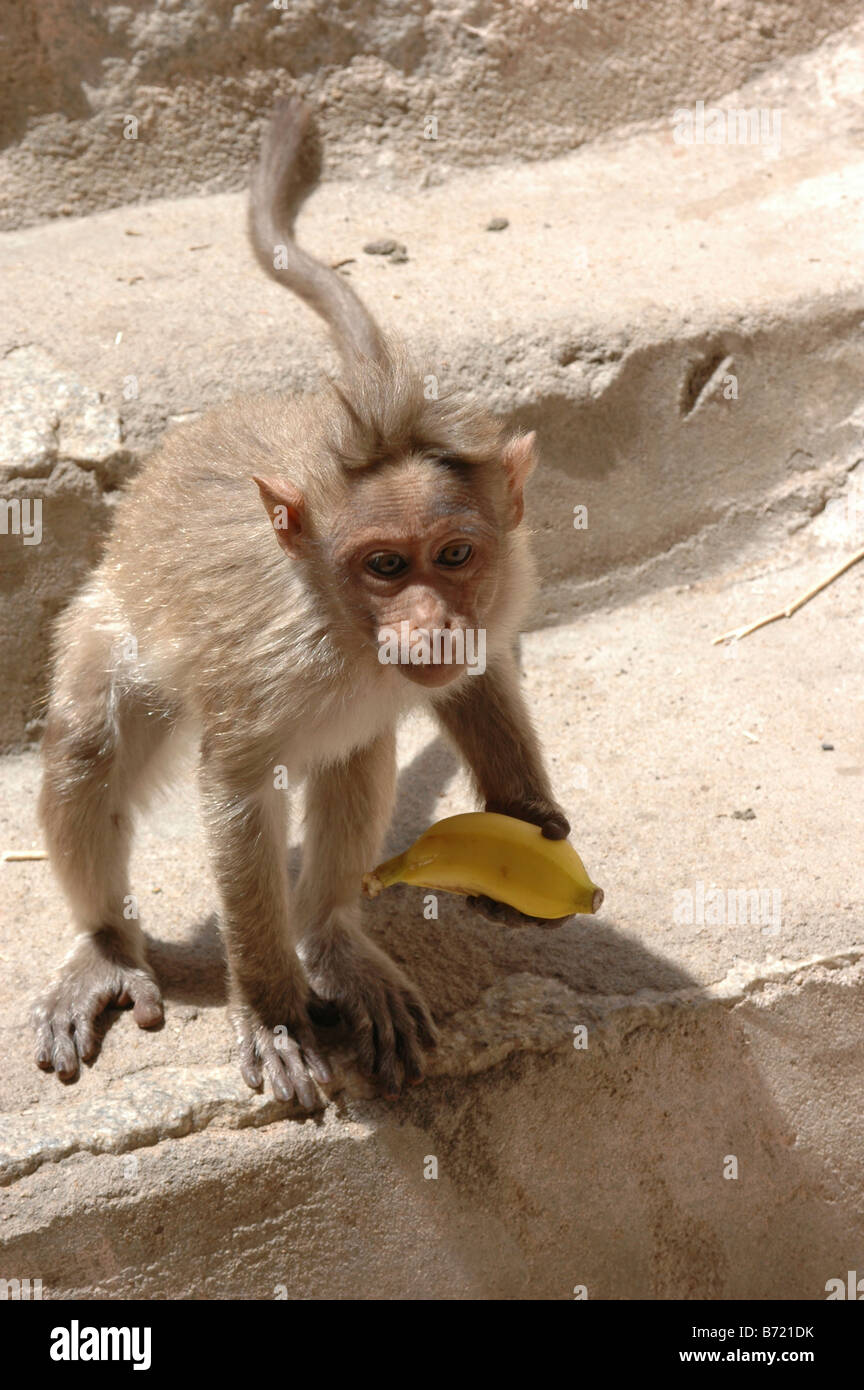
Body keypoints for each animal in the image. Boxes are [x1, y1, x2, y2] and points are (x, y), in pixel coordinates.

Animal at [32, 98, 571, 1107]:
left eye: (454, 555)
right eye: (385, 566)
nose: (431, 625)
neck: (341, 624)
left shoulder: (503, 587)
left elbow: (477, 680)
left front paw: (527, 824)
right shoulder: (268, 666)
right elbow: (237, 795)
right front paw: (274, 1013)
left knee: (356, 751)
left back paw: (330, 940)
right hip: (109, 624)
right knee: (90, 743)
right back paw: (110, 944)